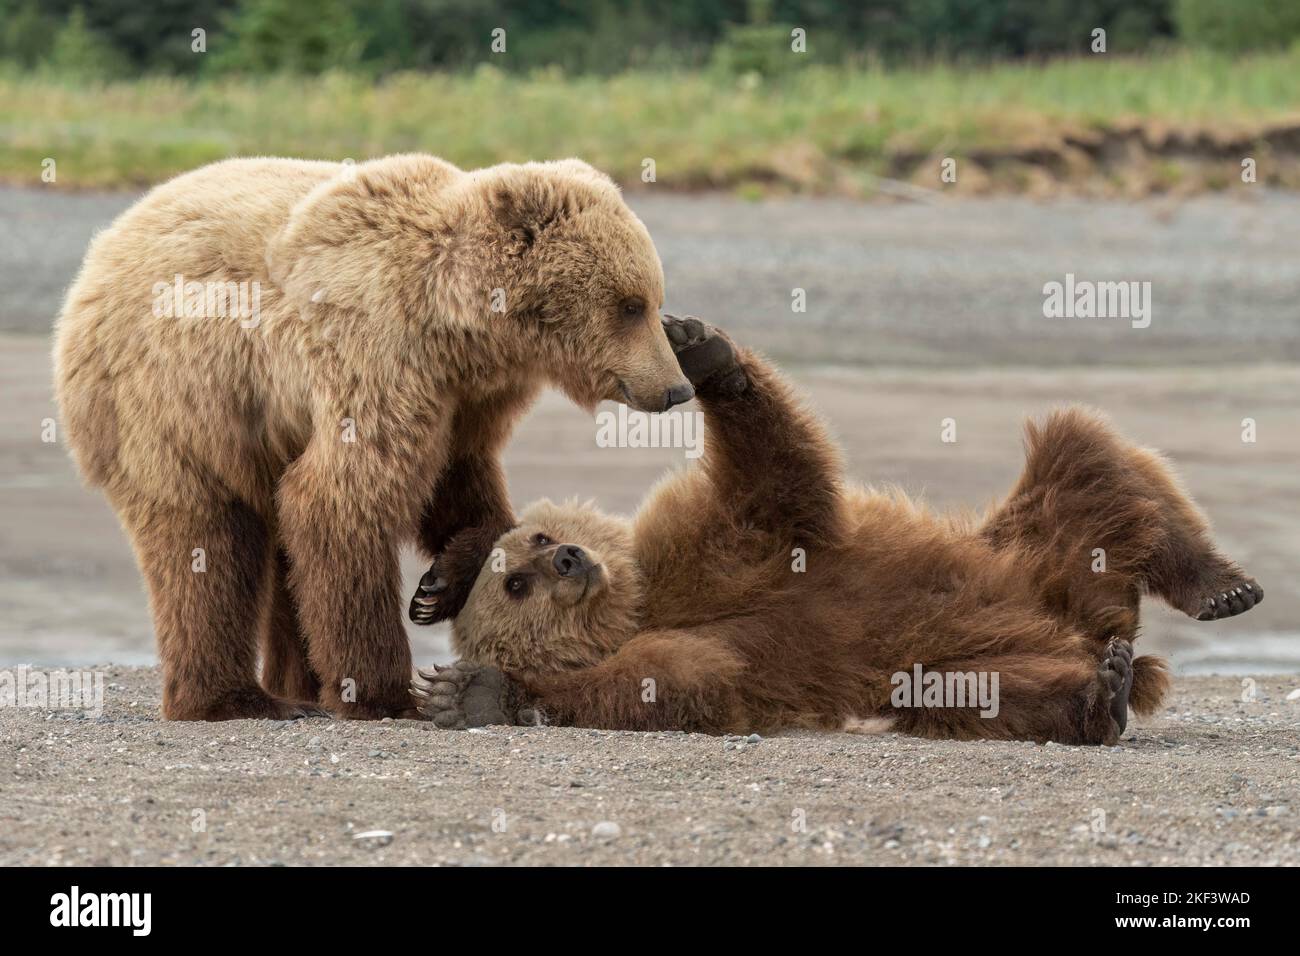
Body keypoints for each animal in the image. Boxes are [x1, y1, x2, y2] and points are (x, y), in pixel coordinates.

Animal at [53, 154, 694, 721]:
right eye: (631, 304)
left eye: (650, 299)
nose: (676, 388)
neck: (460, 326)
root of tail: (96, 259)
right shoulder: (376, 356)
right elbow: (342, 501)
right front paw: (385, 693)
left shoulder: (465, 396)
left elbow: (460, 479)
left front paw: (441, 583)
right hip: (180, 403)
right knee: (206, 542)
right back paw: (237, 700)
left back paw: (296, 684)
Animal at [410, 315, 1262, 745]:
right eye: (518, 584)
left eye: (538, 539)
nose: (570, 558)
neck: (641, 602)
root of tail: (1092, 619)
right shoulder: (693, 639)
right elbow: (667, 686)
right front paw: (475, 692)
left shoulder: (716, 544)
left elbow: (775, 477)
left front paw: (705, 353)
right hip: (975, 651)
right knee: (984, 693)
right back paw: (1103, 695)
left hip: (1030, 545)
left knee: (1086, 455)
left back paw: (1222, 586)